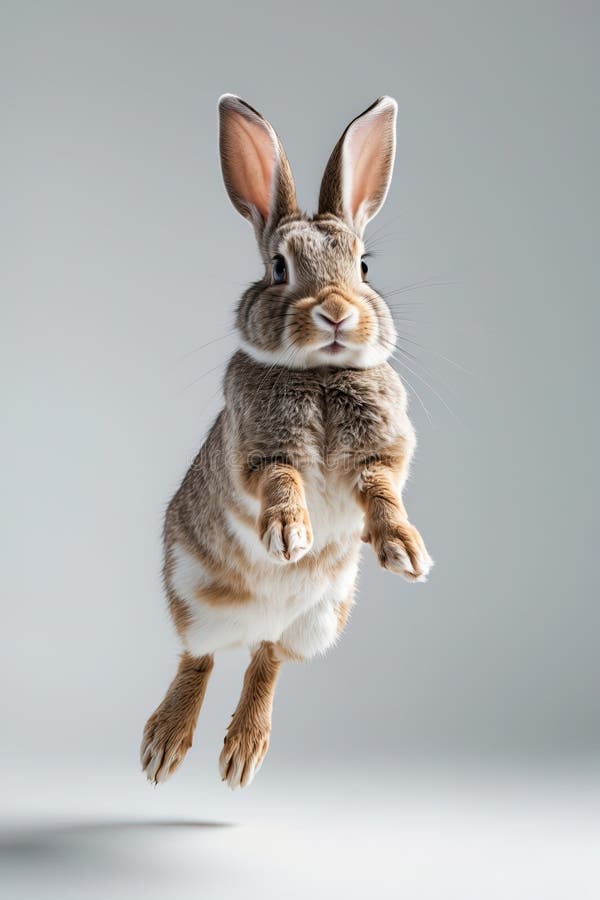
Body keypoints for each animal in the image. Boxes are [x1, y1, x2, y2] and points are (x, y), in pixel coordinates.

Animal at [140, 94, 433, 790]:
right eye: (278, 268)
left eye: (363, 266)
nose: (336, 312)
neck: (320, 374)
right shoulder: (260, 449)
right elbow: (280, 480)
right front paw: (289, 534)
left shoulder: (380, 454)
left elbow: (383, 492)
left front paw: (405, 551)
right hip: (191, 592)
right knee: (200, 658)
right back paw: (165, 746)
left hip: (324, 615)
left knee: (267, 659)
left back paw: (243, 749)